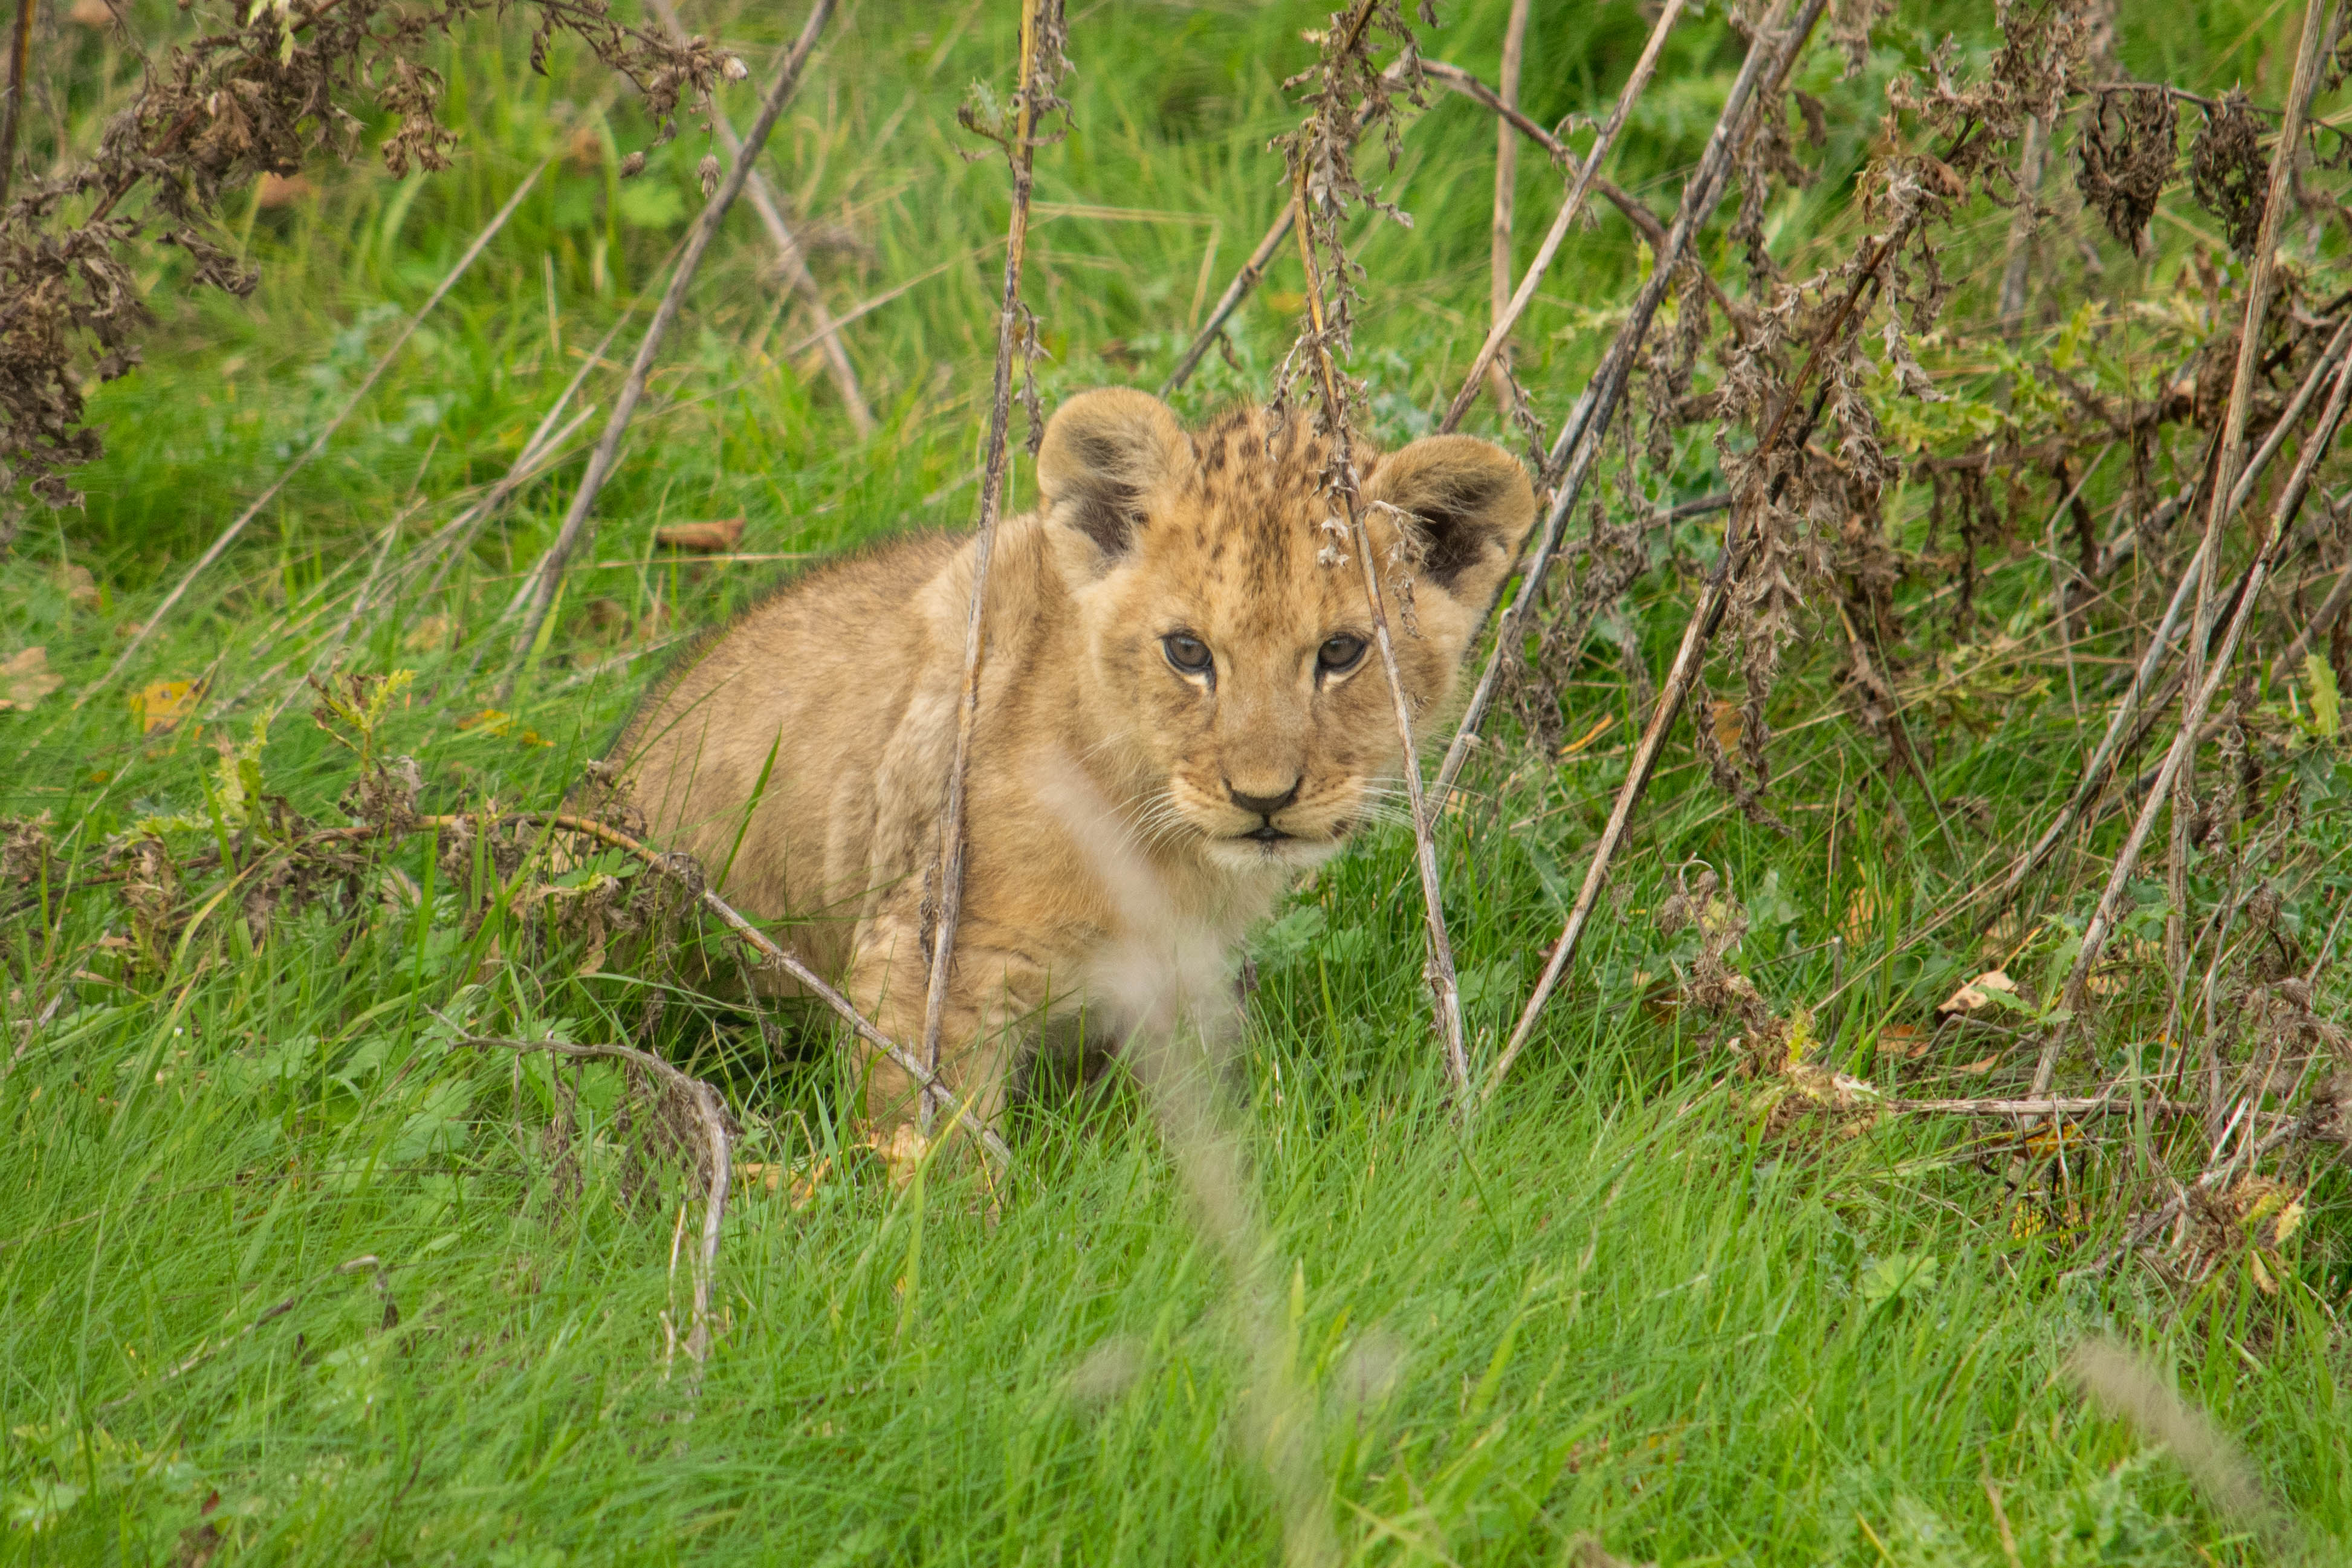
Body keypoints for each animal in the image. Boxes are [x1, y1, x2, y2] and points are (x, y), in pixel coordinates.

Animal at [604, 388, 1535, 1139]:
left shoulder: (1165, 994)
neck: (1162, 852)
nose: (1262, 799)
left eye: (1341, 652)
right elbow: (937, 1157)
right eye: (1187, 651)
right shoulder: (915, 965)